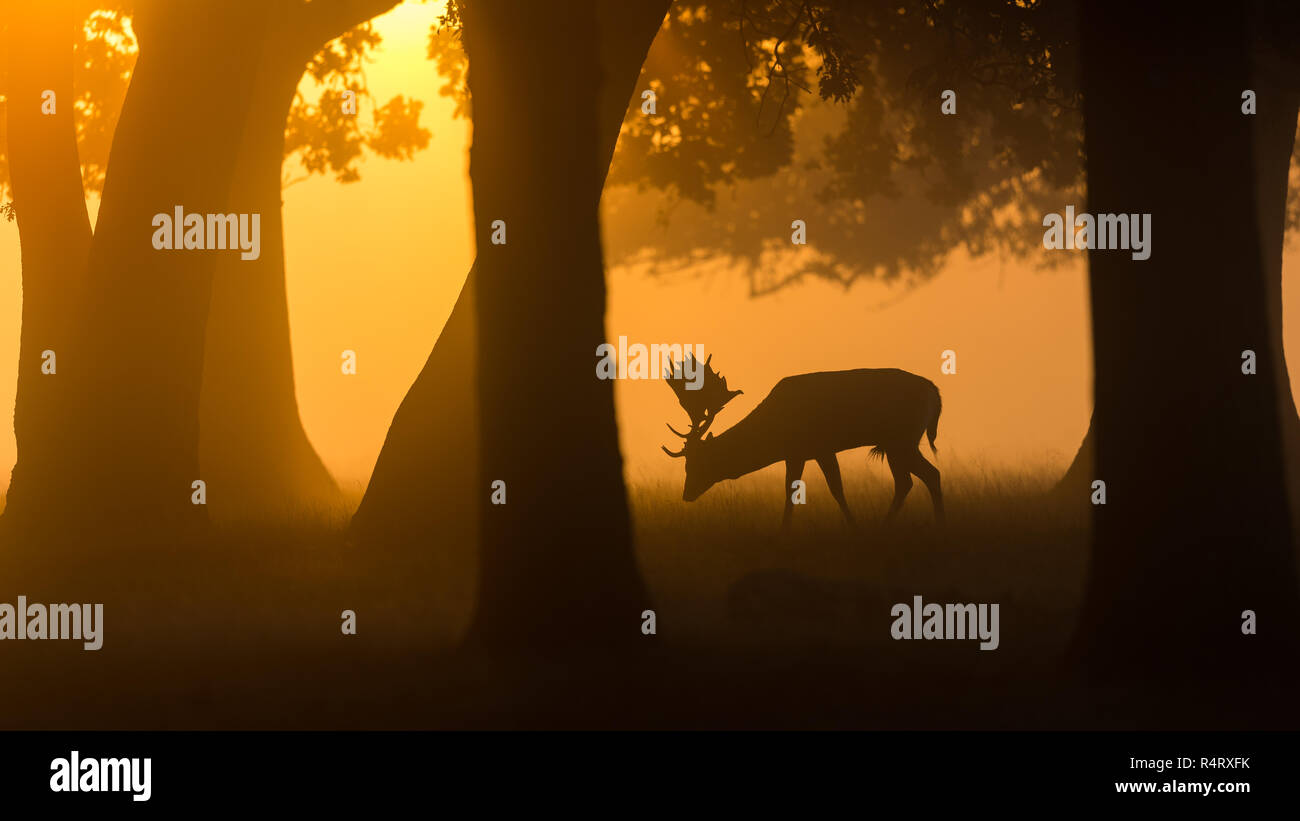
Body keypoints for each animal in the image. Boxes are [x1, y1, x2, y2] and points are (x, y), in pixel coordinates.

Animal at [661, 353, 944, 527]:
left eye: (699, 464)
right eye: (686, 465)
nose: (686, 494)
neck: (775, 432)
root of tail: (935, 392)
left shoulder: (821, 447)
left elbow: (834, 489)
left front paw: (853, 526)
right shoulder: (796, 454)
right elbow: (793, 491)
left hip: (902, 438)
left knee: (927, 475)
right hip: (897, 443)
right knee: (910, 481)